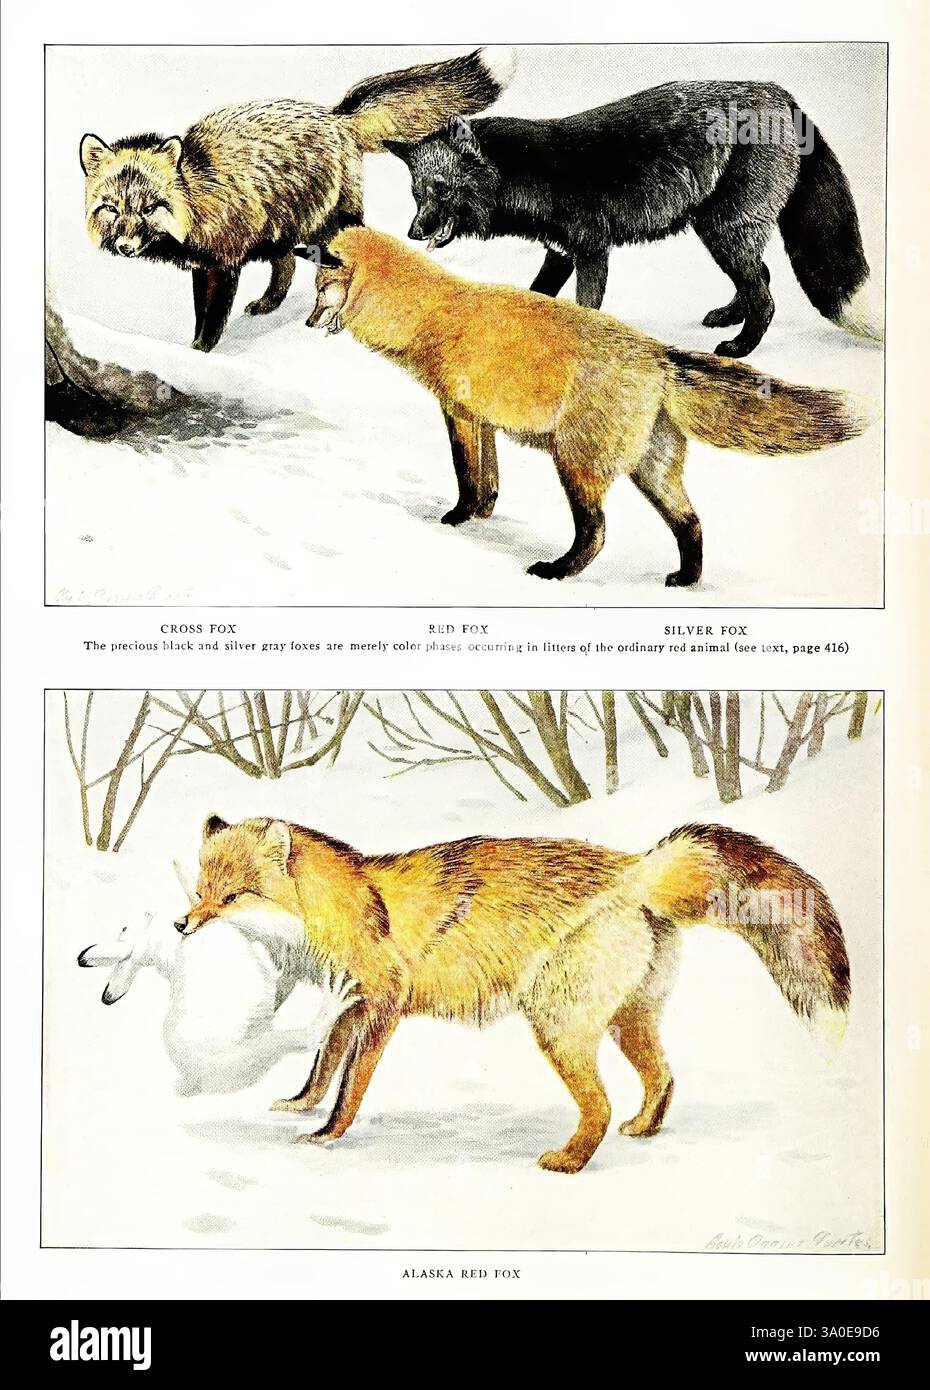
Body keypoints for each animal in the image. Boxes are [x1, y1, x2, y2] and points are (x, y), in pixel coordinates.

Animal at [78, 47, 514, 351]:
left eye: (151, 207)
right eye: (112, 207)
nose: (125, 246)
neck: (200, 197)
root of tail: (335, 116)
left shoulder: (223, 263)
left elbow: (212, 319)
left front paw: (199, 352)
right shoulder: (203, 265)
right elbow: (203, 312)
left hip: (331, 222)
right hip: (281, 229)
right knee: (286, 265)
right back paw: (269, 303)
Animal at [174, 813, 850, 1174]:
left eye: (231, 896)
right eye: (199, 890)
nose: (181, 924)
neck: (344, 910)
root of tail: (636, 866)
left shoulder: (384, 1008)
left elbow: (349, 1087)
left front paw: (327, 1136)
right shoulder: (348, 1005)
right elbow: (320, 1068)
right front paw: (297, 1106)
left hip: (557, 1027)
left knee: (599, 1105)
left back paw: (570, 1162)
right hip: (627, 1020)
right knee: (663, 1079)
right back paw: (643, 1130)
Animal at [300, 228, 876, 583]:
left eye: (322, 290)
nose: (306, 322)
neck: (428, 314)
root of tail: (658, 355)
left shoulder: (459, 414)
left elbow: (467, 475)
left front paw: (458, 518)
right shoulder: (483, 418)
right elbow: (489, 480)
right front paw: (482, 516)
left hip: (576, 463)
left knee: (597, 533)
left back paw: (558, 571)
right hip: (653, 472)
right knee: (691, 524)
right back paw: (685, 581)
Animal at [385, 80, 883, 356]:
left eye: (442, 190)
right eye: (417, 194)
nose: (413, 231)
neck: (529, 173)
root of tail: (784, 97)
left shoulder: (591, 251)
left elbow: (585, 308)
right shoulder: (560, 253)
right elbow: (538, 298)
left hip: (722, 230)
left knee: (765, 295)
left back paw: (740, 348)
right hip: (724, 231)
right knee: (760, 276)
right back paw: (727, 317)